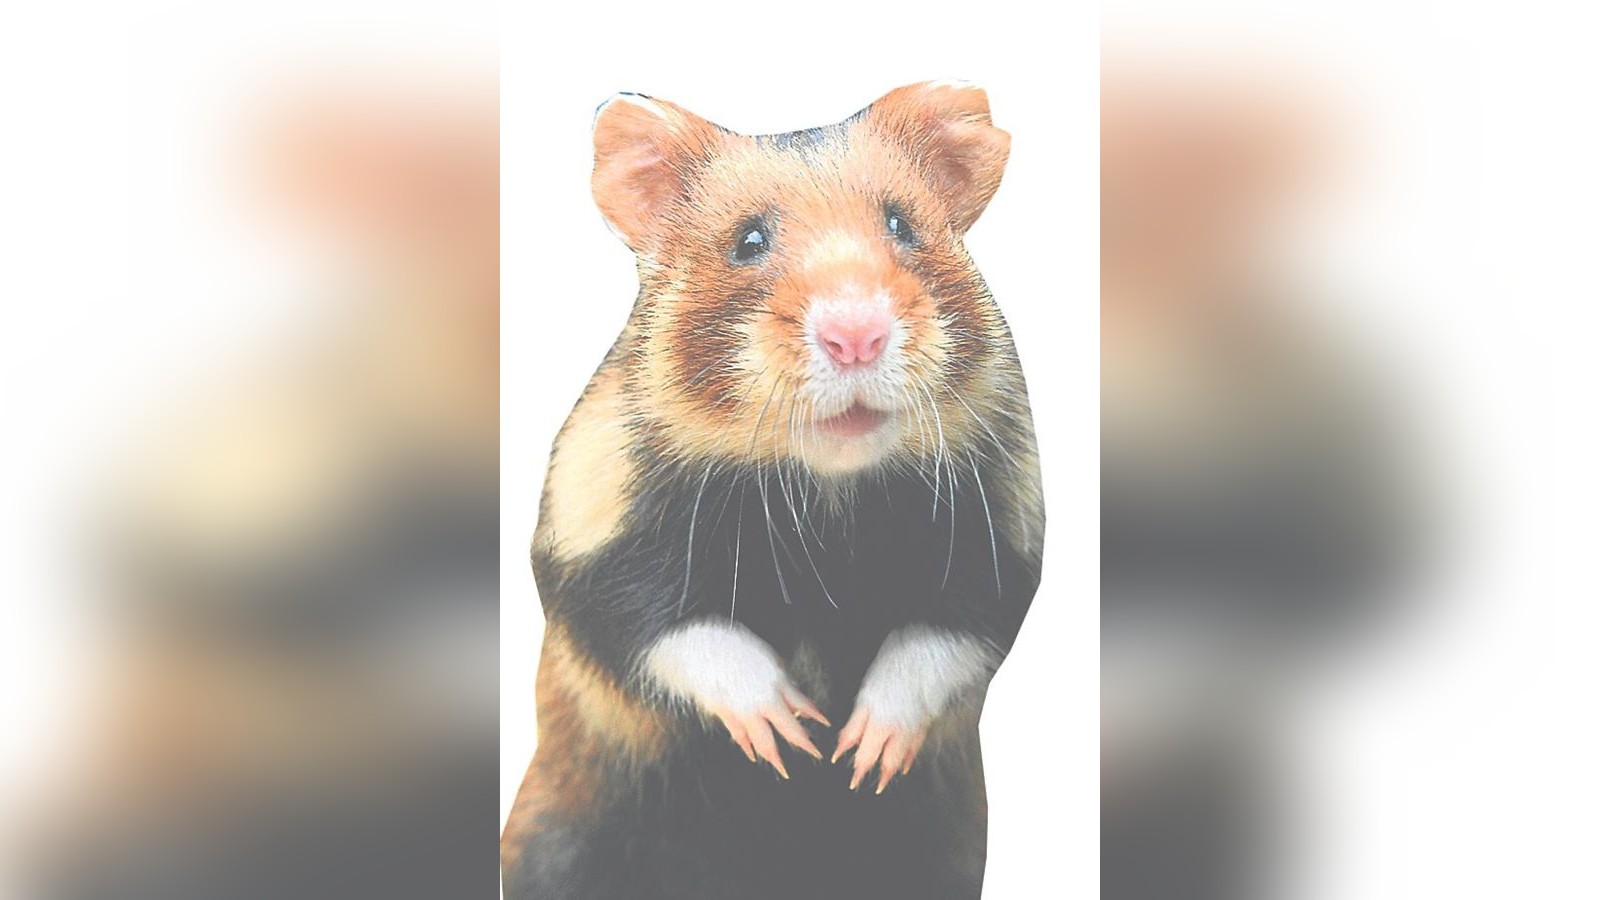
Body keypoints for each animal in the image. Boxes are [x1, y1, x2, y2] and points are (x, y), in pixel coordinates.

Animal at [502, 81, 1044, 900]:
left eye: (903, 225)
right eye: (749, 241)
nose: (857, 335)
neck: (825, 494)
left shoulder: (1002, 541)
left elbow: (938, 641)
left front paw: (856, 756)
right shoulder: (587, 541)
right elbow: (676, 631)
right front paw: (795, 735)